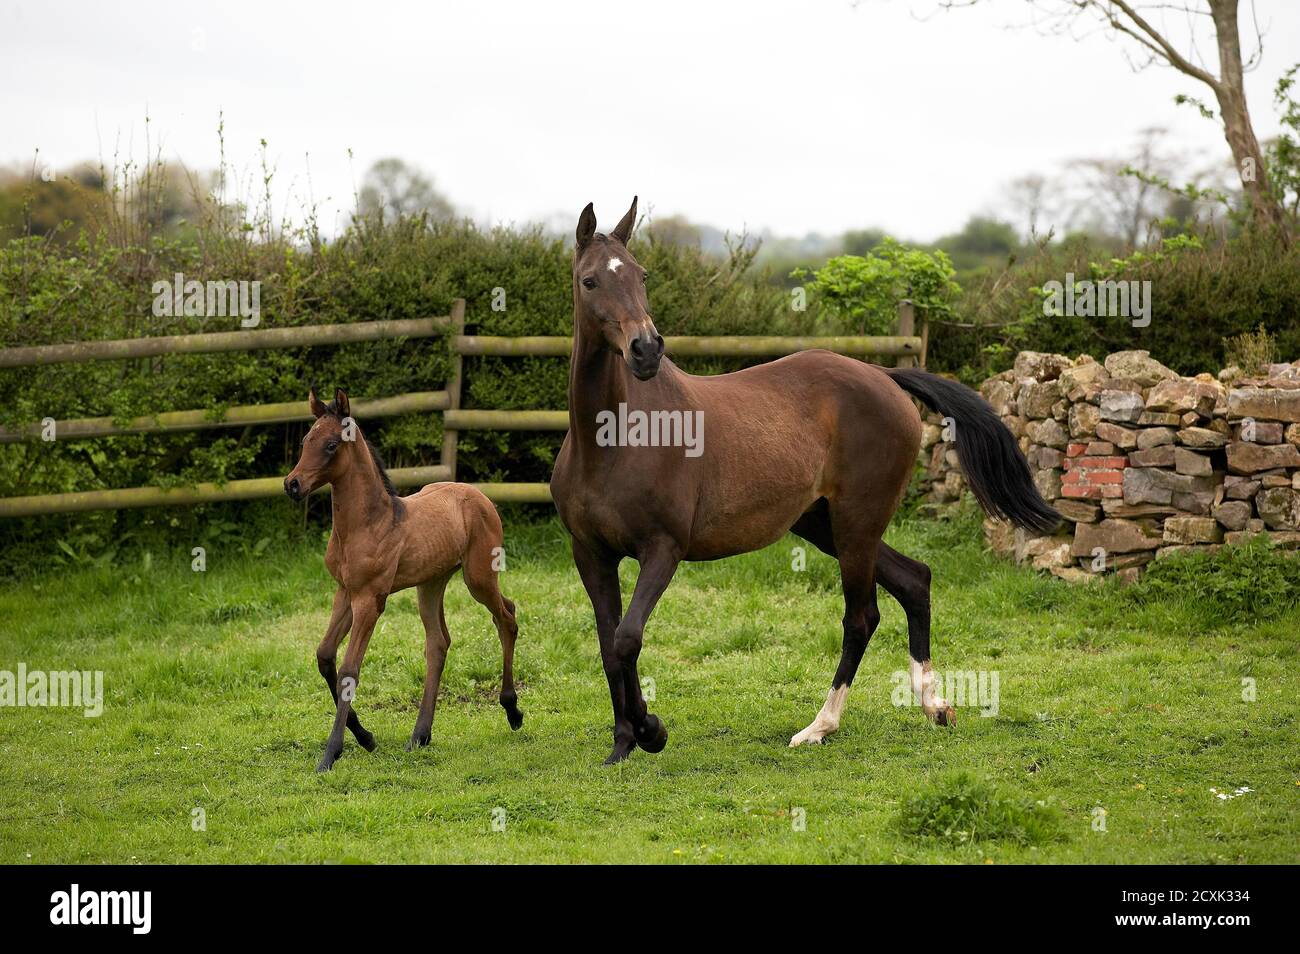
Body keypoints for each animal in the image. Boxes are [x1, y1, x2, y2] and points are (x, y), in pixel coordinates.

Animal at [284, 387, 522, 772]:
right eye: (306, 440)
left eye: (332, 445)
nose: (292, 484)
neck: (367, 523)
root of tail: (478, 495)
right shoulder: (345, 592)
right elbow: (325, 656)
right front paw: (365, 737)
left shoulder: (370, 600)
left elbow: (349, 669)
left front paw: (331, 753)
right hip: (431, 583)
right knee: (438, 642)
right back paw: (420, 735)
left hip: (478, 577)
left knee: (507, 617)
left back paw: (512, 710)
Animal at [550, 197, 1060, 765]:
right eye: (590, 280)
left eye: (641, 275)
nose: (645, 350)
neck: (614, 440)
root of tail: (884, 376)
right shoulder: (591, 554)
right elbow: (608, 642)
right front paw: (622, 744)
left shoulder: (663, 549)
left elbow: (627, 638)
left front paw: (651, 730)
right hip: (826, 525)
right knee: (915, 580)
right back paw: (934, 705)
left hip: (856, 523)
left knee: (862, 617)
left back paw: (820, 726)